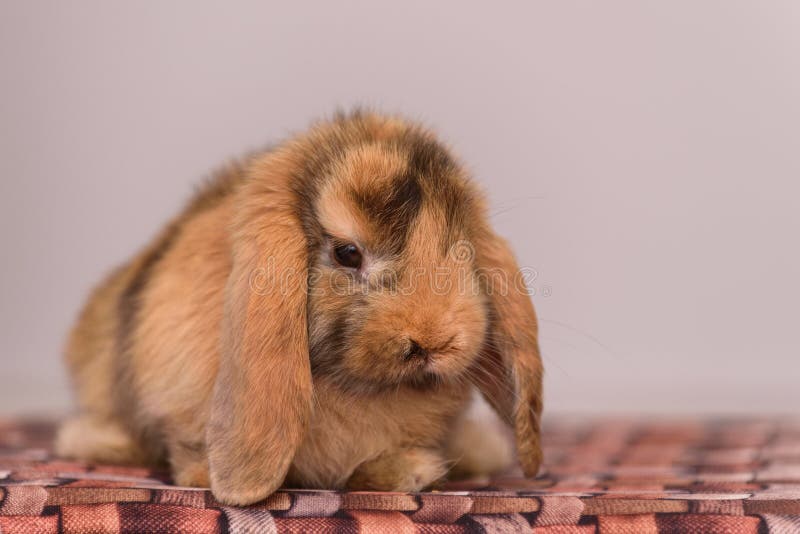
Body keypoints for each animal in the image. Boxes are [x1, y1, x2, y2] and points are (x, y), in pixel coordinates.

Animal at [55, 110, 543, 506]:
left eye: (462, 250)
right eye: (347, 253)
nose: (436, 340)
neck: (355, 387)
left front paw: (411, 472)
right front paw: (206, 475)